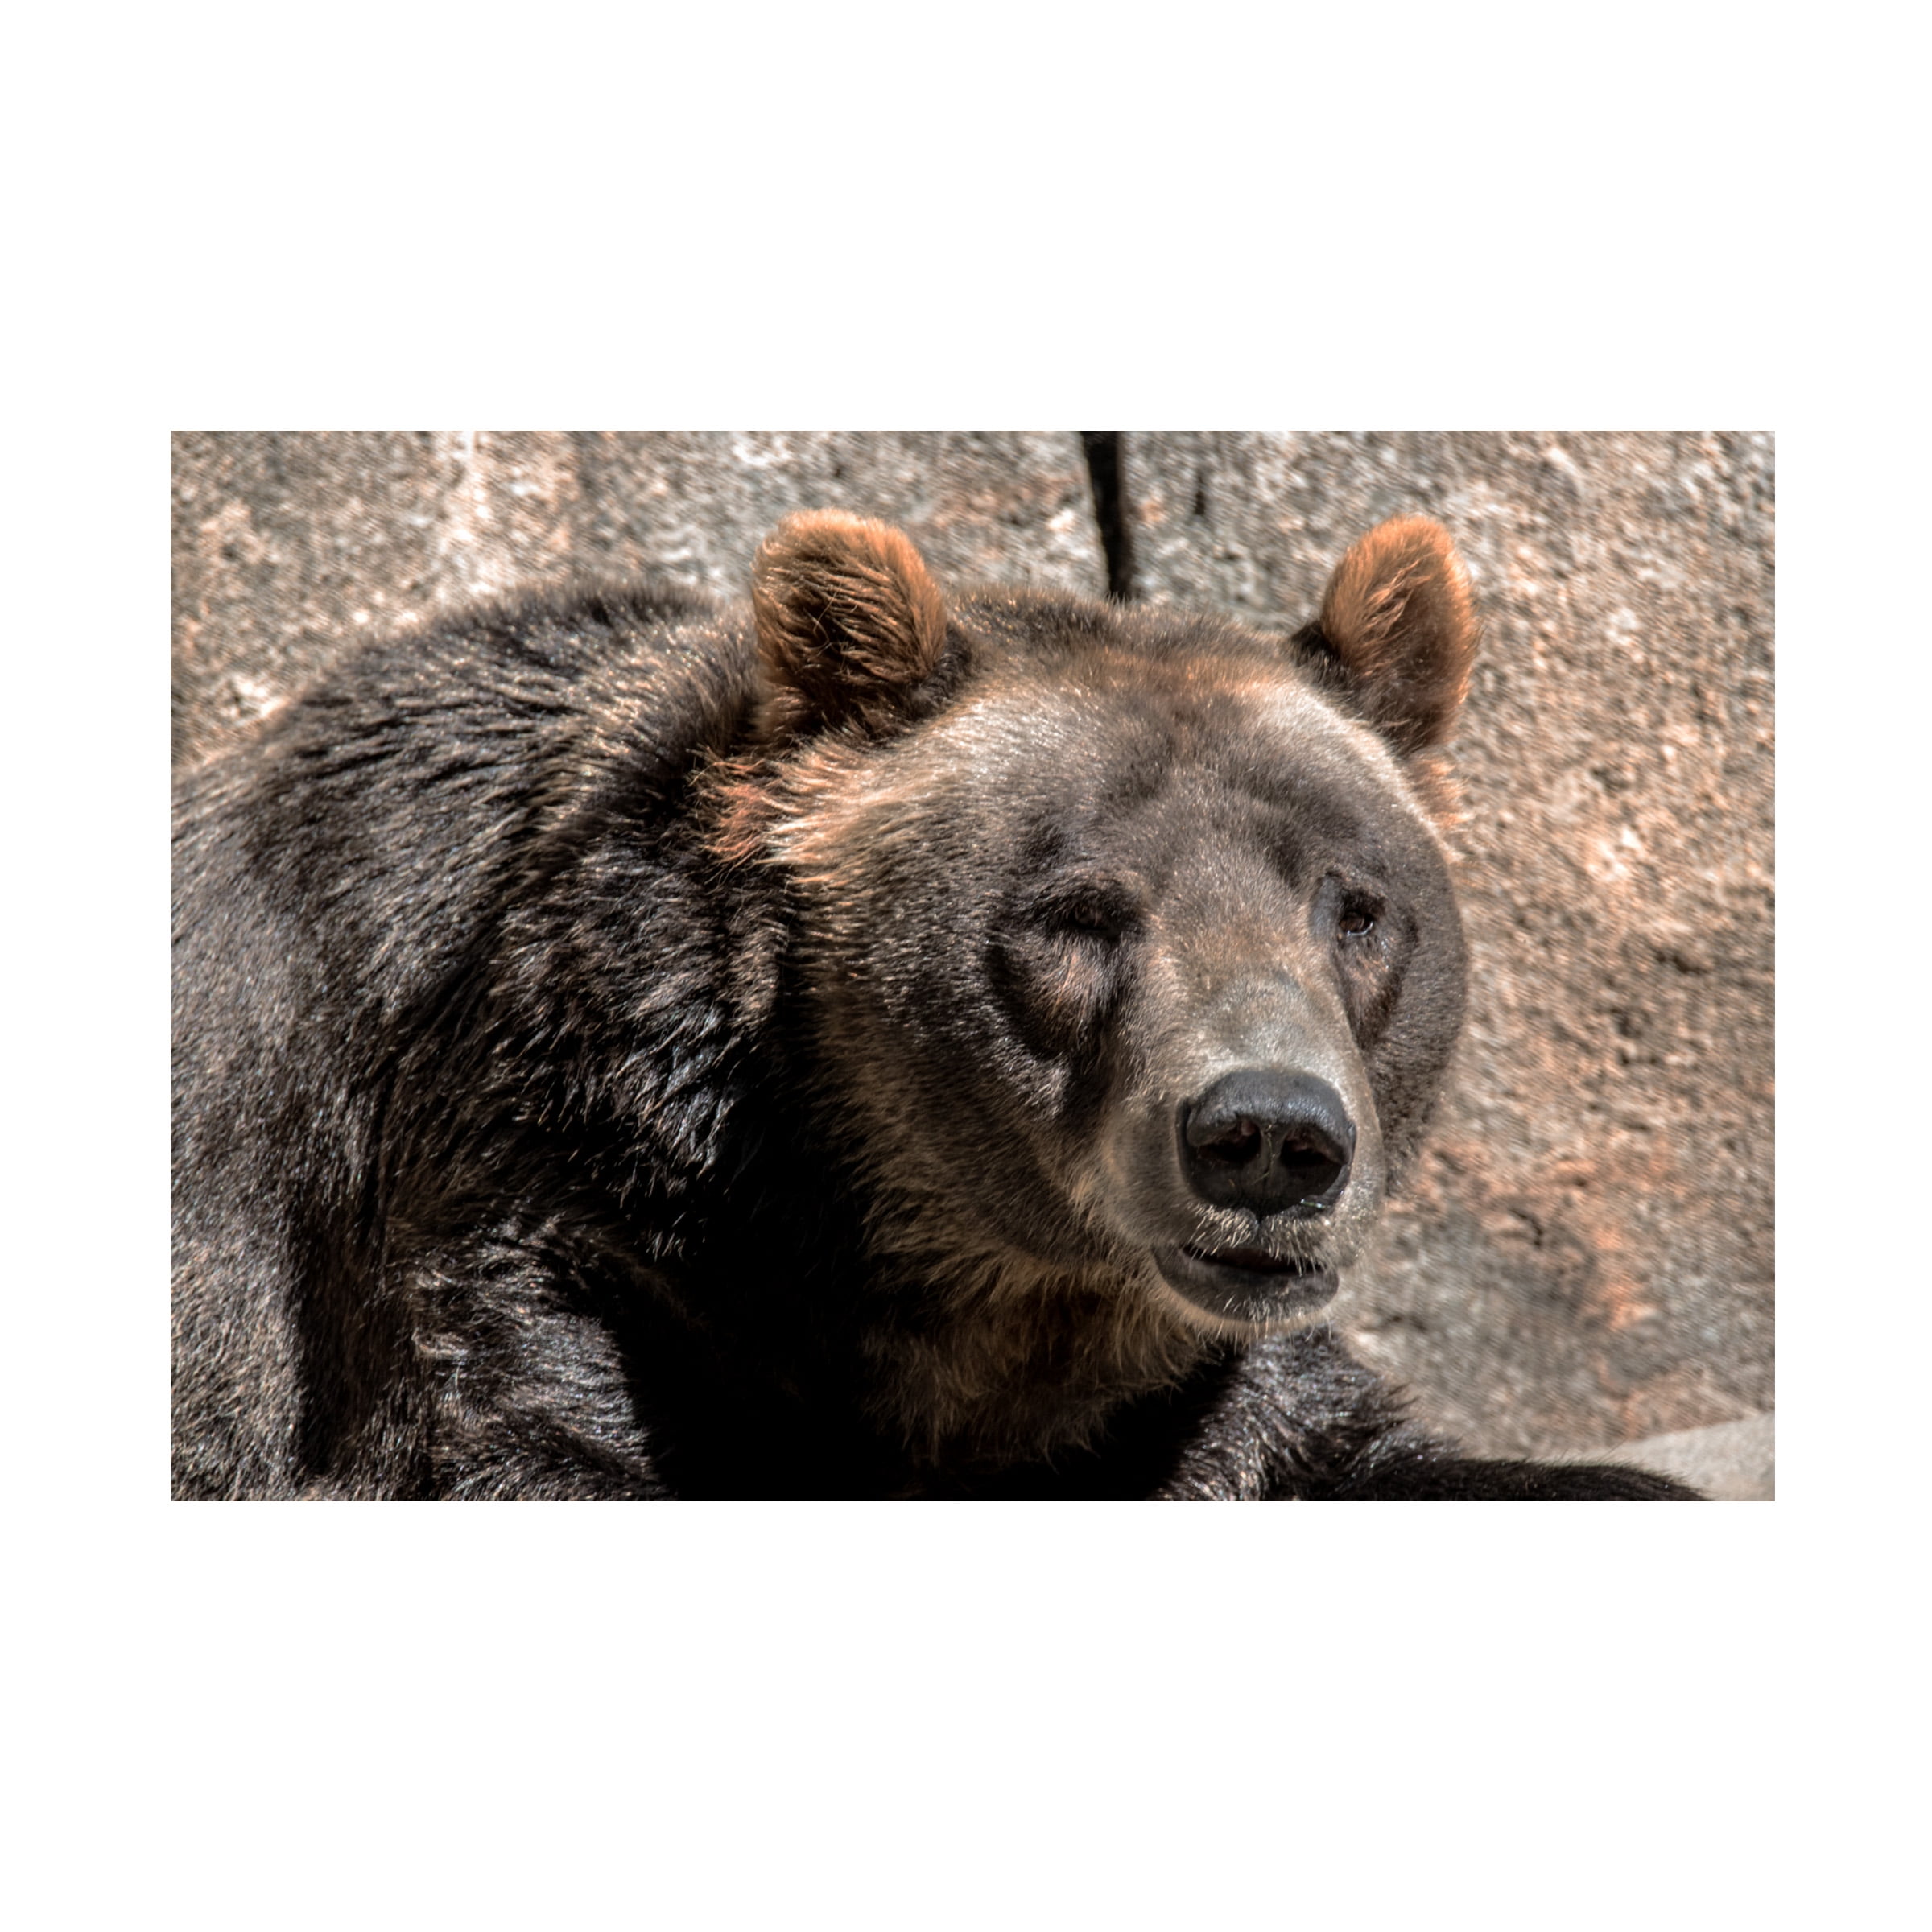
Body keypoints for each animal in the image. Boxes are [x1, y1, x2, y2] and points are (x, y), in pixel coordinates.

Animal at [171, 505, 1697, 1499]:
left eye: (1353, 904)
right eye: (1077, 912)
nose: (1269, 1136)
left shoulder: (1199, 1389)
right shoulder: (550, 1226)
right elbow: (532, 1426)